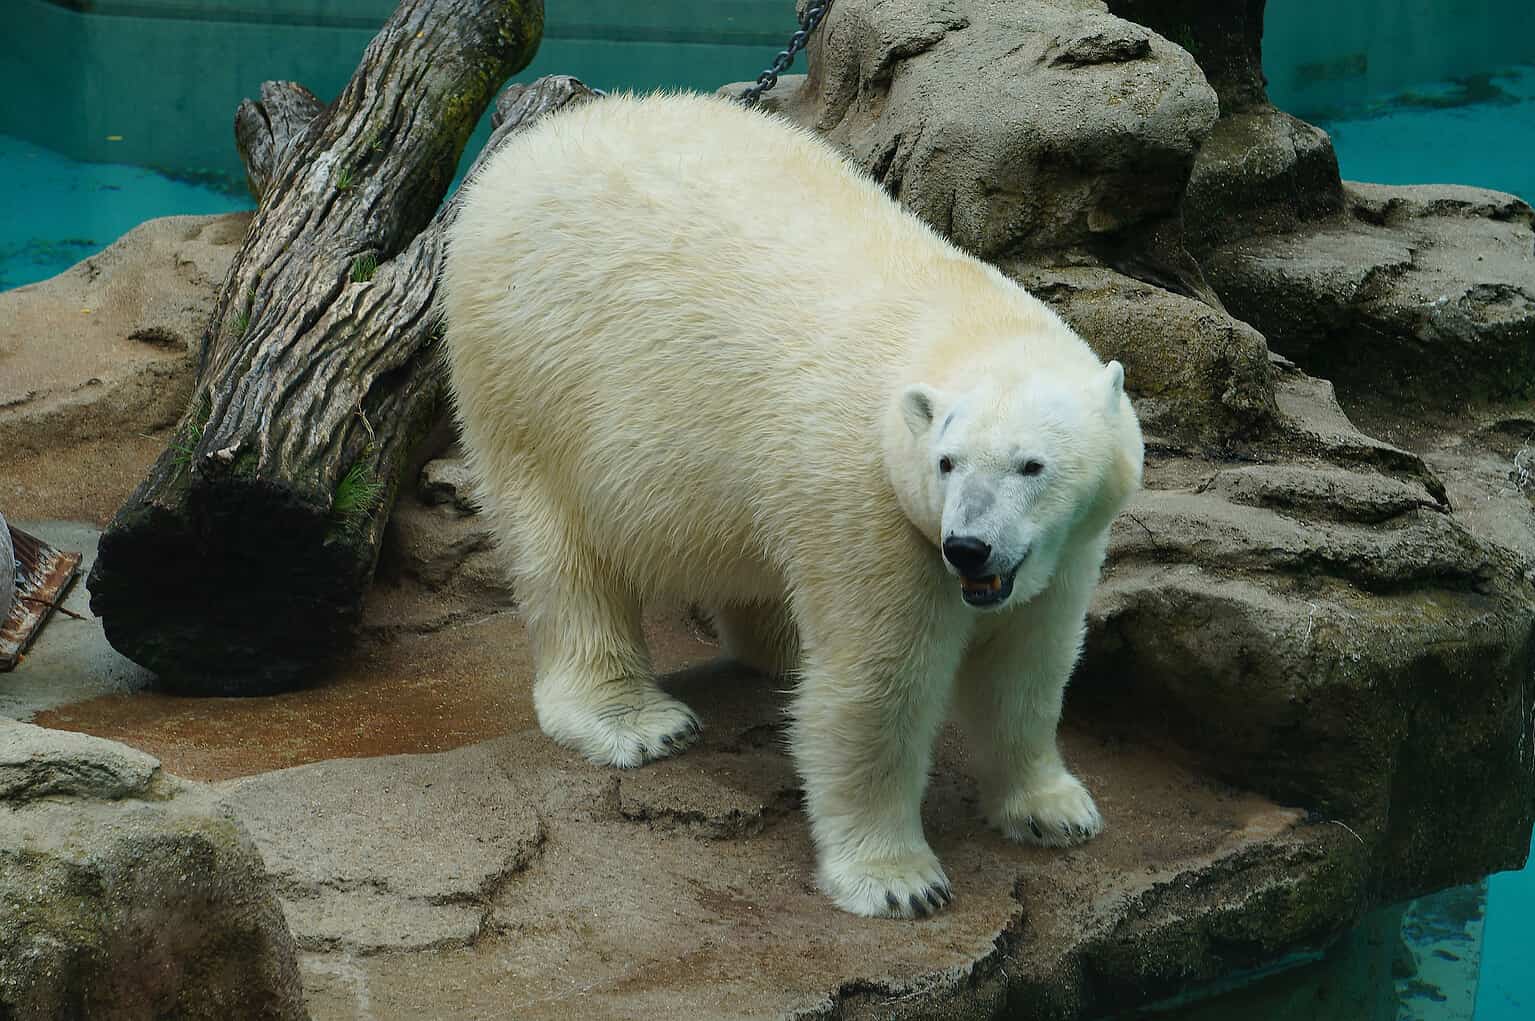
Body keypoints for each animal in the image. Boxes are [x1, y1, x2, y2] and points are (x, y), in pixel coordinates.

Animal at [440, 90, 1144, 919]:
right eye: (946, 462)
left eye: (1031, 465)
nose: (967, 547)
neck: (957, 317)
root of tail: (523, 153)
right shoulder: (871, 502)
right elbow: (876, 686)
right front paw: (898, 879)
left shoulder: (1066, 544)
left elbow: (1030, 662)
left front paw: (1054, 809)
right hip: (528, 370)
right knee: (564, 551)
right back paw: (636, 721)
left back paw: (777, 648)